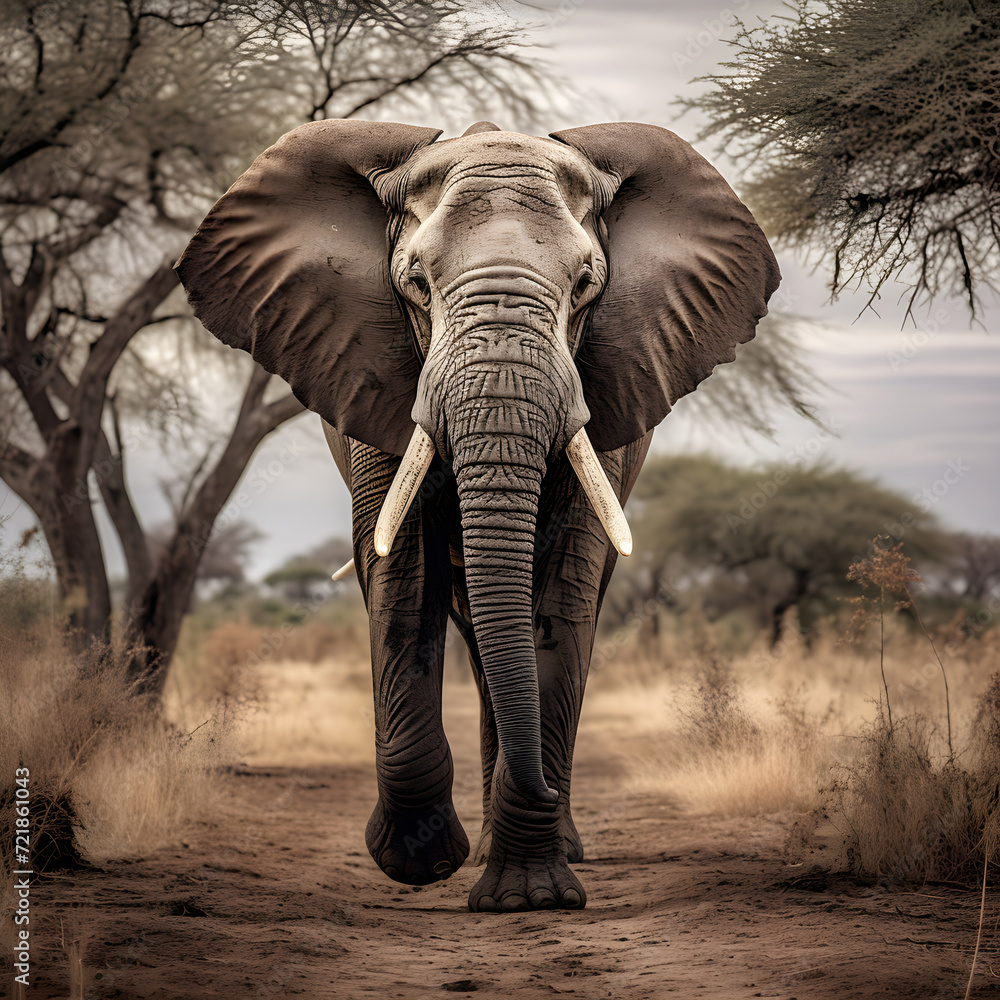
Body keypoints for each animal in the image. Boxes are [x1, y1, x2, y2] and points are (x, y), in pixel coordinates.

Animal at [175, 118, 779, 912]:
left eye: (586, 283)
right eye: (415, 282)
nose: (542, 794)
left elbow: (560, 597)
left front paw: (529, 894)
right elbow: (400, 574)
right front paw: (422, 859)